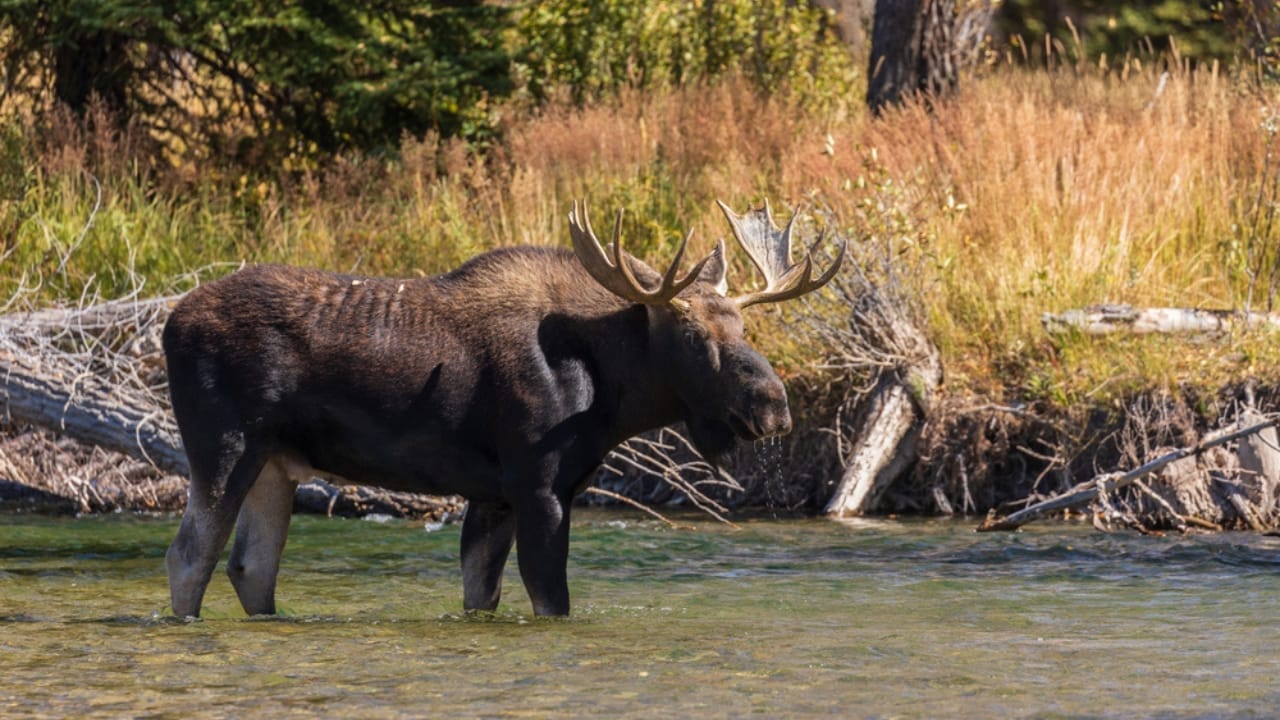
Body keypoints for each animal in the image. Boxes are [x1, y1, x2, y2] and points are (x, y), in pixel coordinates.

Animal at [161, 199, 844, 618]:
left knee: (250, 568)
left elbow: (479, 594)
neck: (610, 397)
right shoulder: (540, 486)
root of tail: (168, 323)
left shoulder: (492, 494)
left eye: (745, 327)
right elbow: (551, 599)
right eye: (696, 336)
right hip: (224, 447)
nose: (774, 405)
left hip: (276, 465)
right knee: (190, 556)